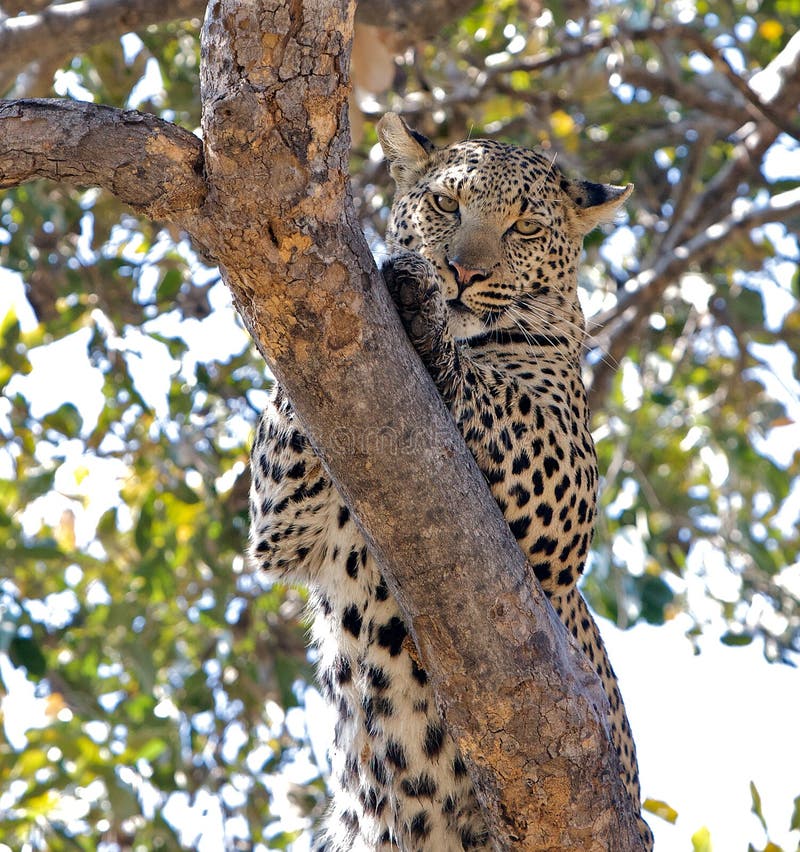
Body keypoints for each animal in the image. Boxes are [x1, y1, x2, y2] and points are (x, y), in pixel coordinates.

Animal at [248, 112, 653, 850]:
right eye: (445, 203)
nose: (463, 272)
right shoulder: (284, 528)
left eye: (525, 226)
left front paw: (427, 310)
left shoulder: (562, 494)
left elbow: (493, 392)